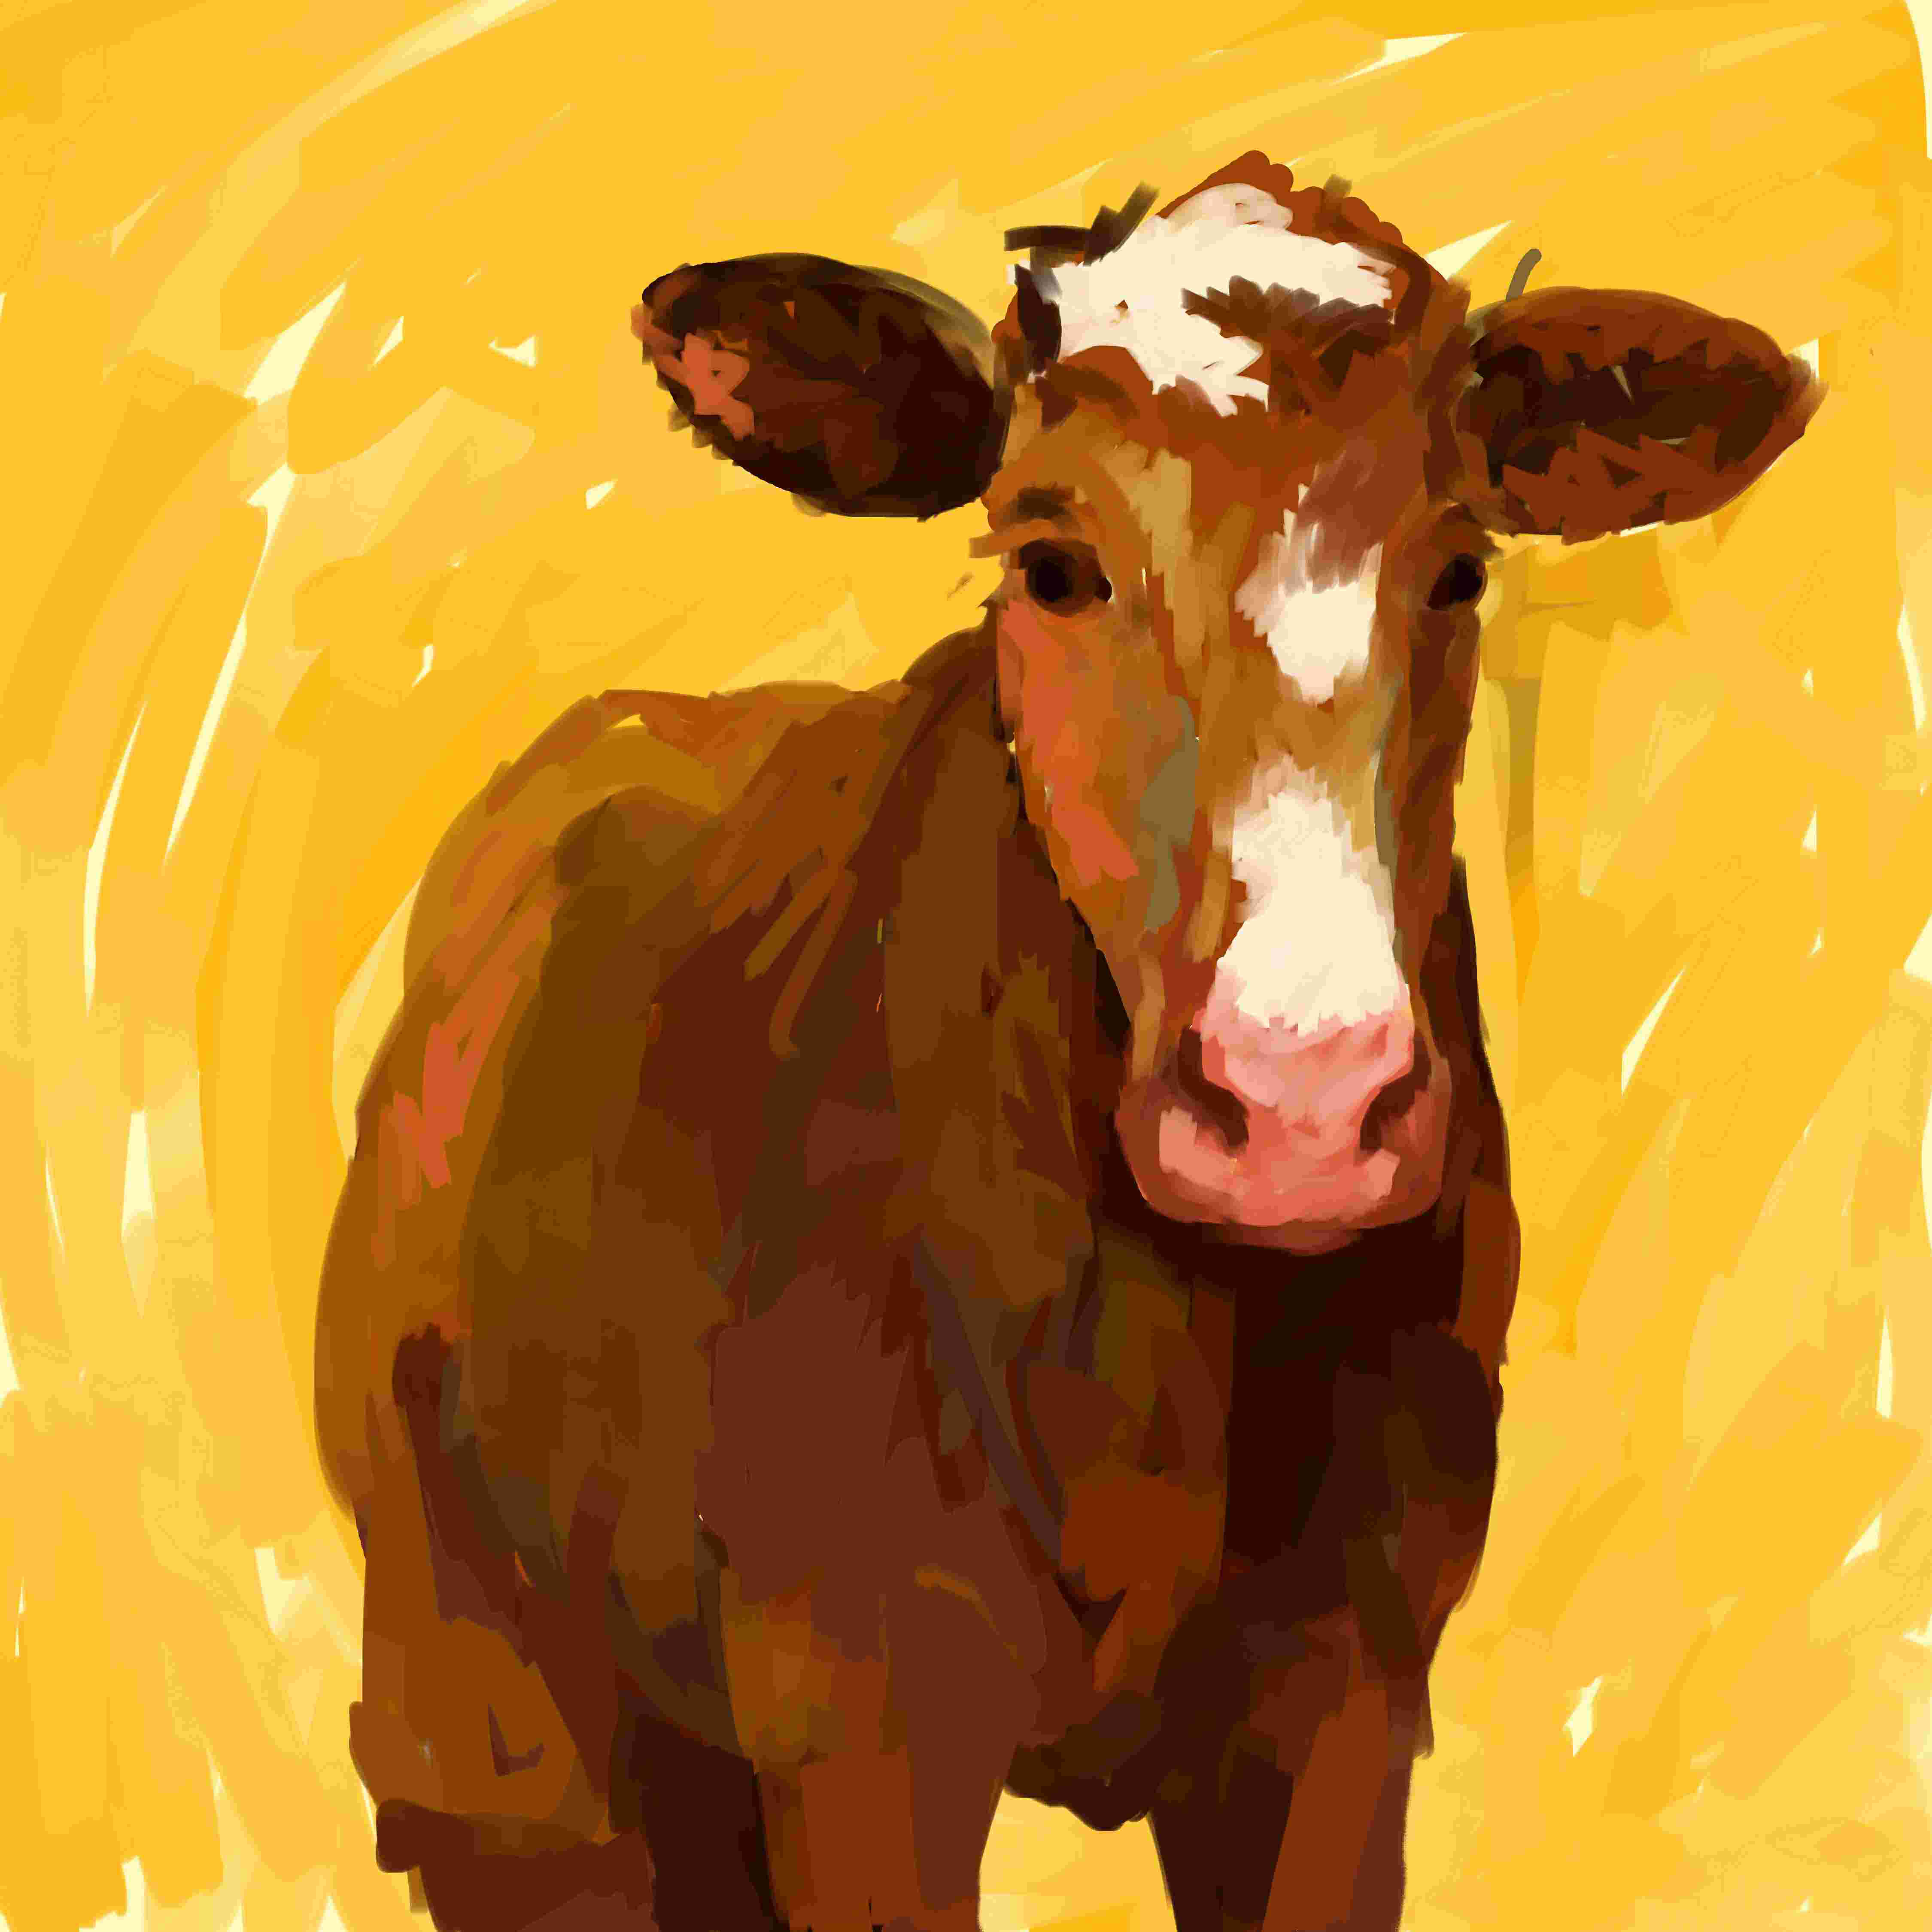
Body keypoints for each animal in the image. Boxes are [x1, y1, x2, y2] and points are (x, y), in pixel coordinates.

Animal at [314, 151, 1817, 1932]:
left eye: (1459, 567)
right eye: (1052, 561)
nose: (1303, 1100)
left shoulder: (1346, 1694)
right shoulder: (863, 1703)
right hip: (479, 1698)